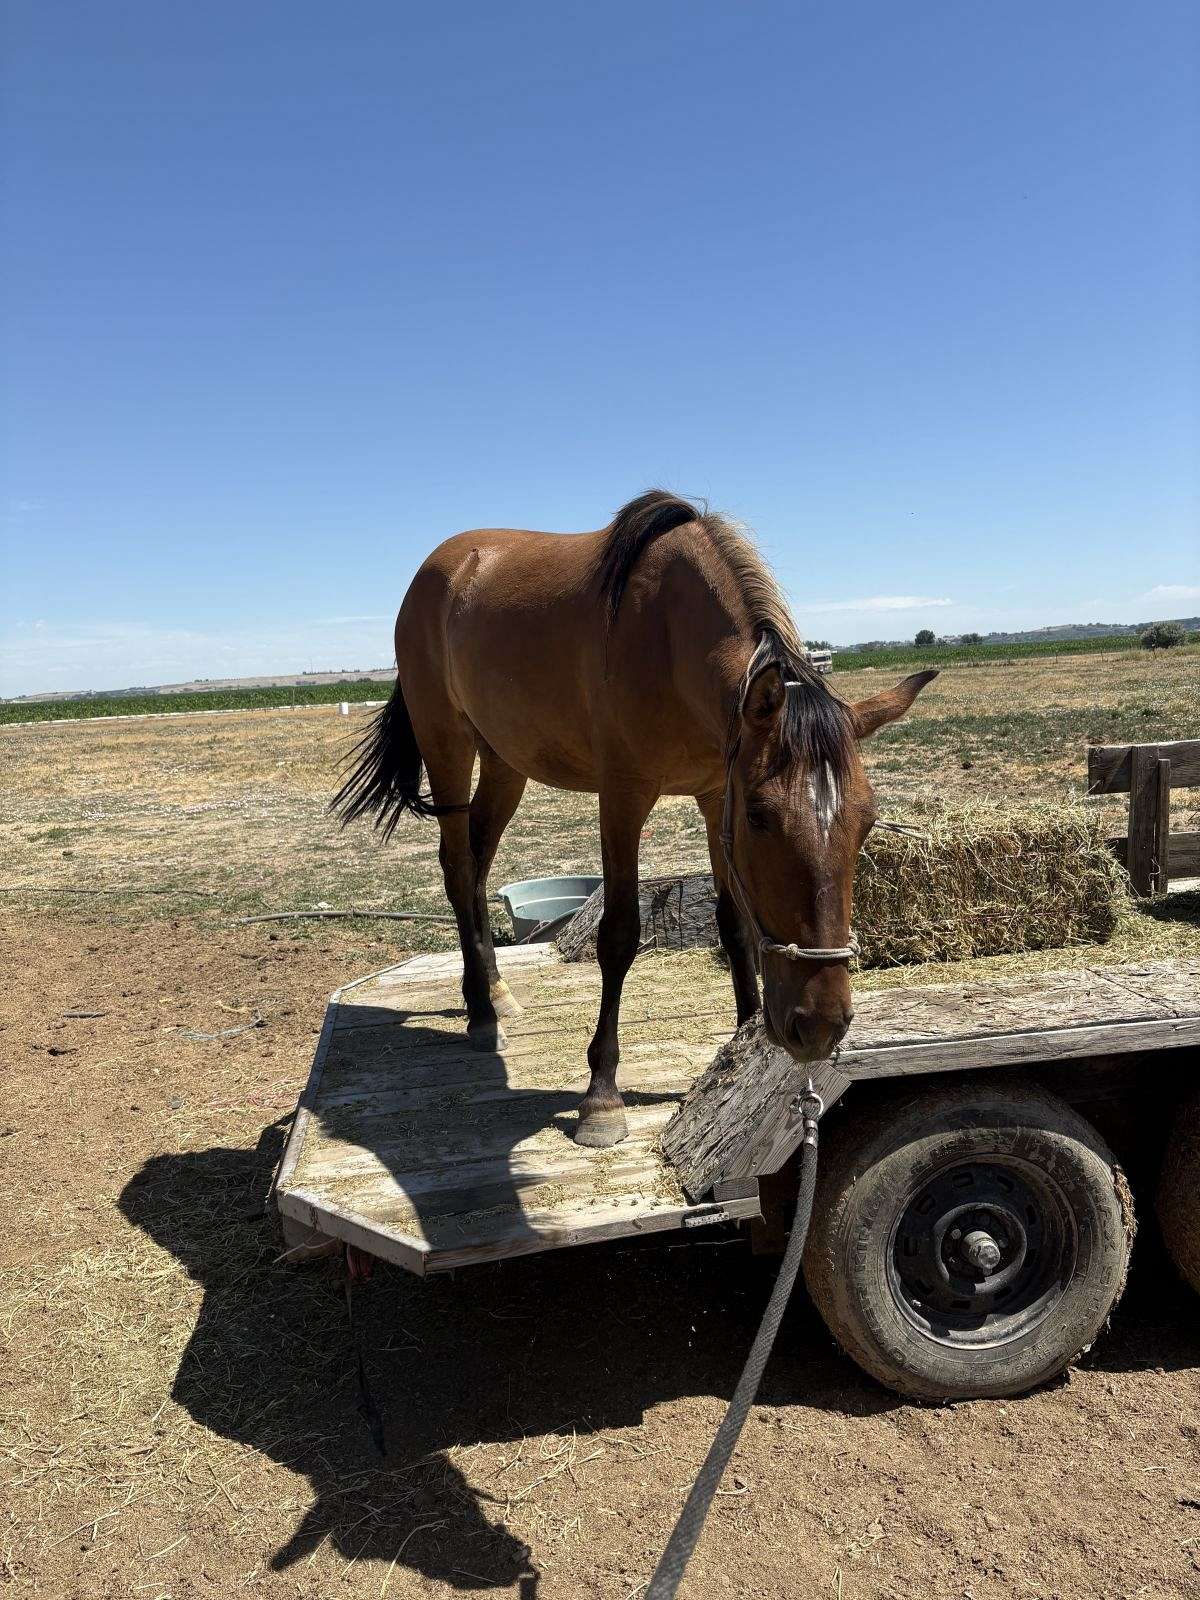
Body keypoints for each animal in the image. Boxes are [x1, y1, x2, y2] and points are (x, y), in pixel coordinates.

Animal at [333, 490, 936, 1148]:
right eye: (761, 818)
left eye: (867, 821)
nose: (820, 1024)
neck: (669, 636)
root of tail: (440, 567)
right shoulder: (624, 798)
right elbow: (618, 934)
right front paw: (602, 1098)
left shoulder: (714, 793)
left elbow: (733, 925)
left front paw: (742, 1046)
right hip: (446, 744)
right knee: (456, 865)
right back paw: (481, 1013)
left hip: (504, 761)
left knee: (478, 862)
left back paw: (495, 990)